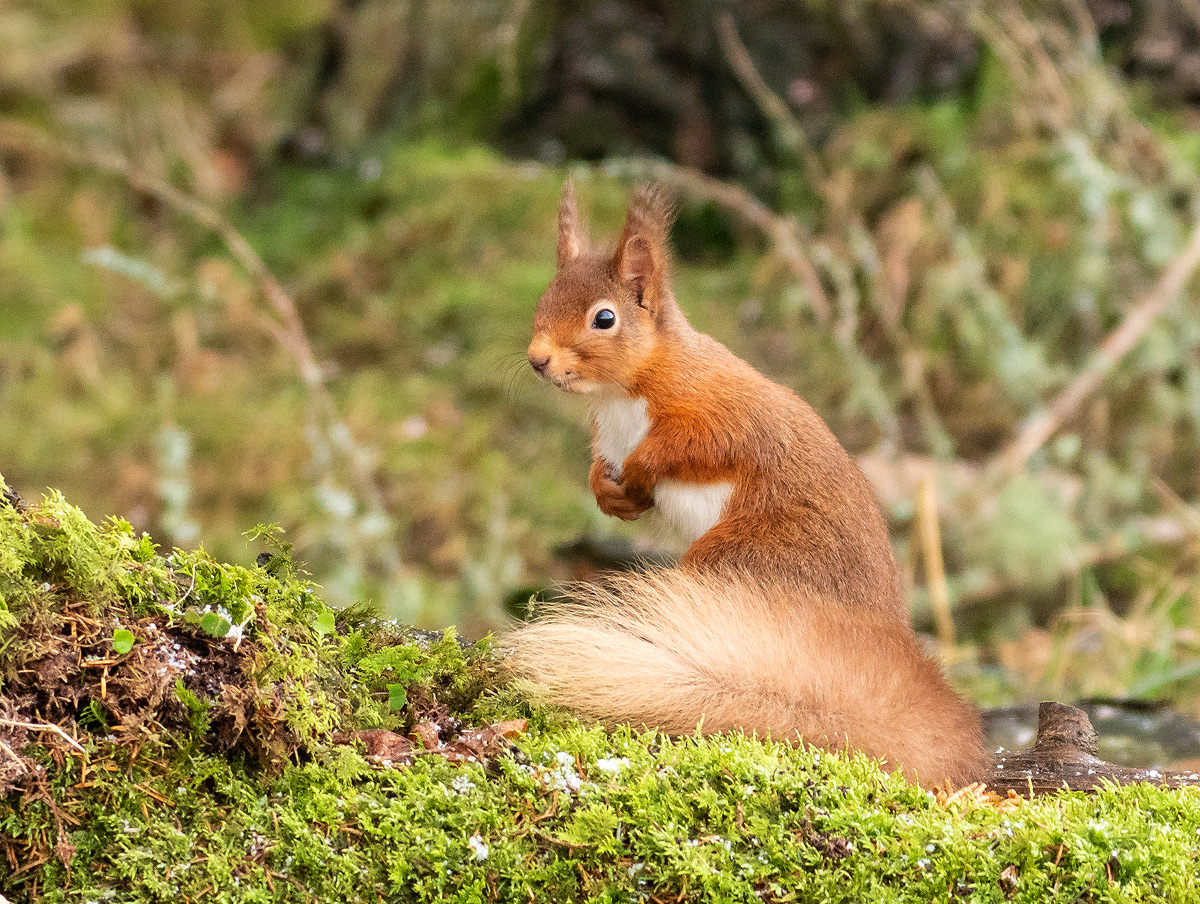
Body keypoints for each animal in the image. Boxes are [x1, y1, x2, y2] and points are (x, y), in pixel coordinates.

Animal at [510, 181, 987, 787]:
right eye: (544, 298)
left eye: (604, 318)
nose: (537, 359)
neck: (622, 395)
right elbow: (604, 469)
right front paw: (609, 492)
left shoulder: (724, 411)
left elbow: (707, 445)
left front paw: (643, 467)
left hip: (743, 558)